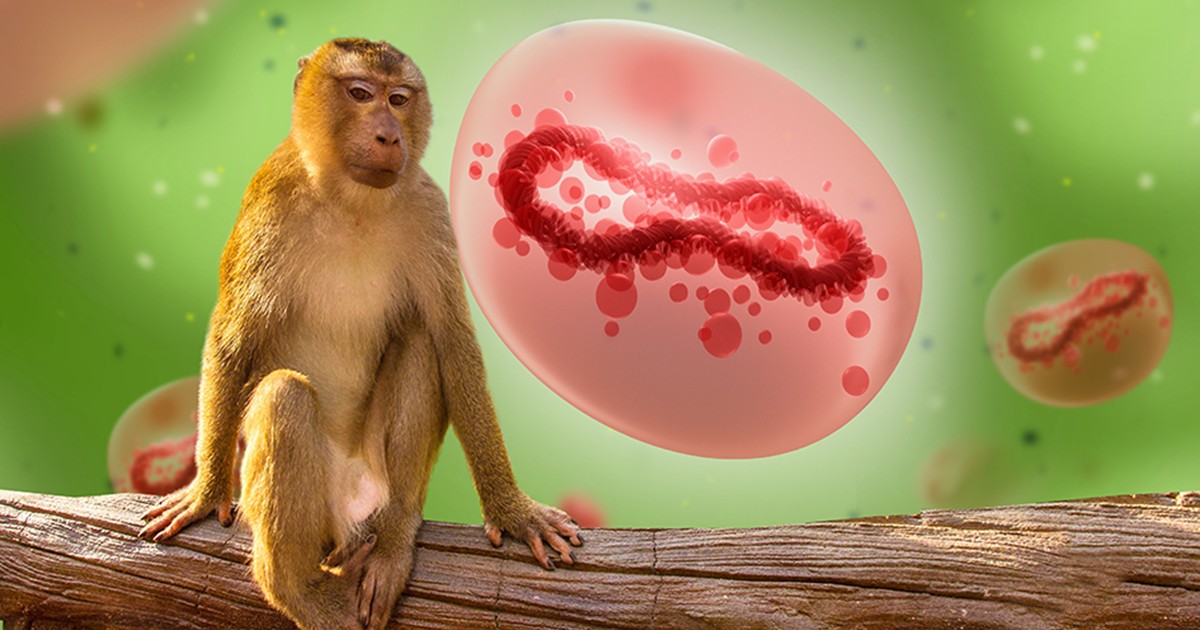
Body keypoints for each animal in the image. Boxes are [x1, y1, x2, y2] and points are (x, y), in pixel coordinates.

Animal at [137, 38, 582, 629]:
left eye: (398, 99)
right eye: (360, 93)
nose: (389, 134)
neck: (350, 203)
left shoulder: (428, 210)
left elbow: (451, 343)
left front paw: (510, 508)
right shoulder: (267, 203)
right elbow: (232, 343)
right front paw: (206, 491)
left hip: (375, 483)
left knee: (420, 346)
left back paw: (394, 539)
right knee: (284, 396)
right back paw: (294, 587)